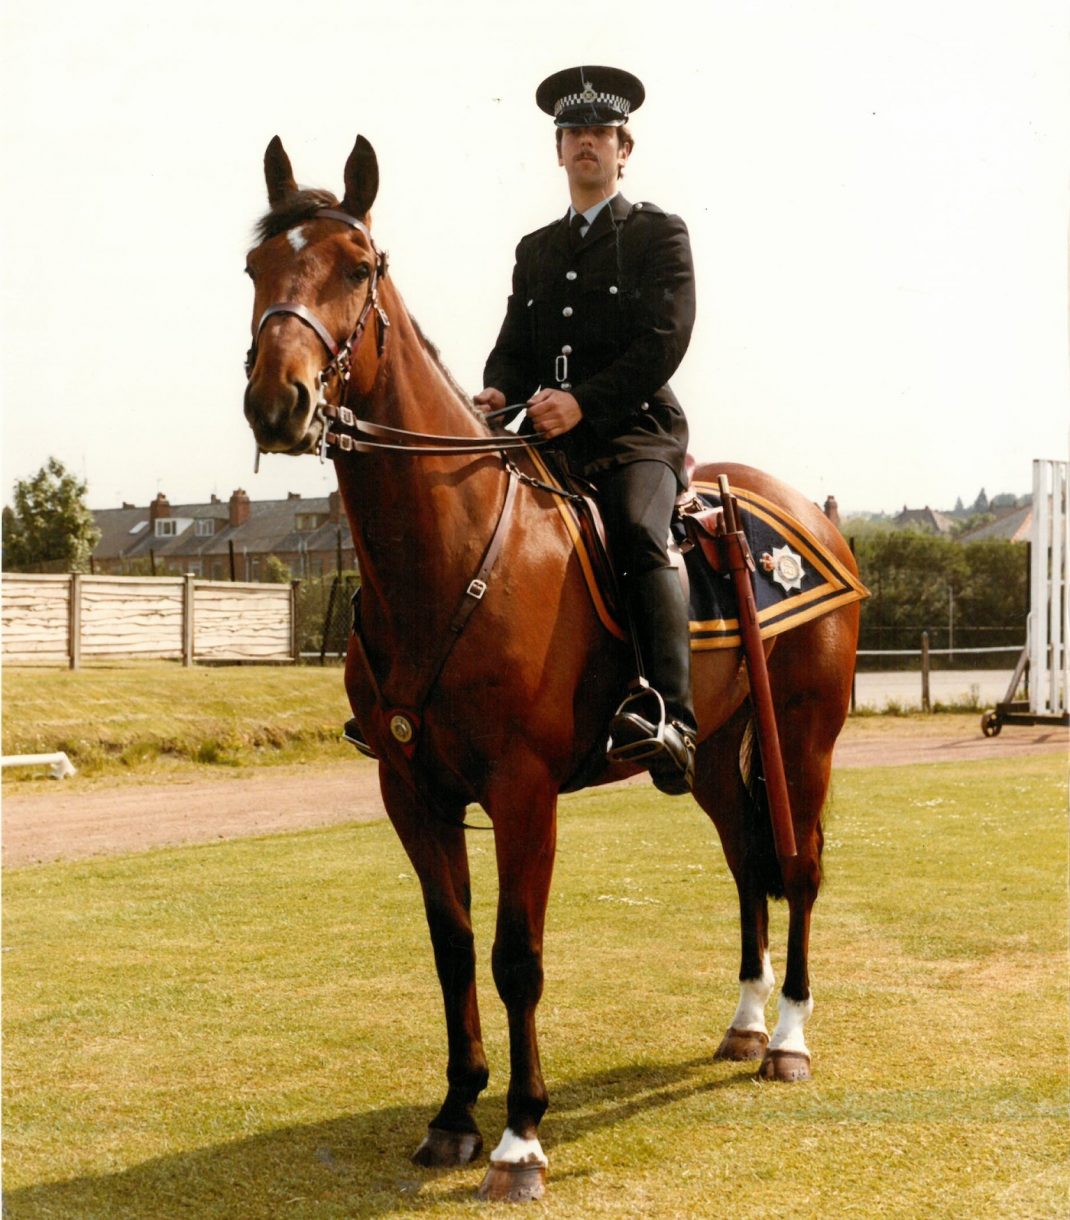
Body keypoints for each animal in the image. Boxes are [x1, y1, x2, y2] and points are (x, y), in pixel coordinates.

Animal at [242, 134, 862, 1203]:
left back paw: (787, 1037)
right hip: (713, 750)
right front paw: (456, 1113)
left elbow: (516, 956)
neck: (452, 550)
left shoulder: (523, 791)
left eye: (357, 267)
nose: (280, 402)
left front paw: (520, 1137)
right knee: (748, 862)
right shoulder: (411, 789)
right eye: (254, 268)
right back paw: (745, 1024)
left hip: (805, 737)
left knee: (798, 864)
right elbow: (452, 949)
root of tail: (812, 516)